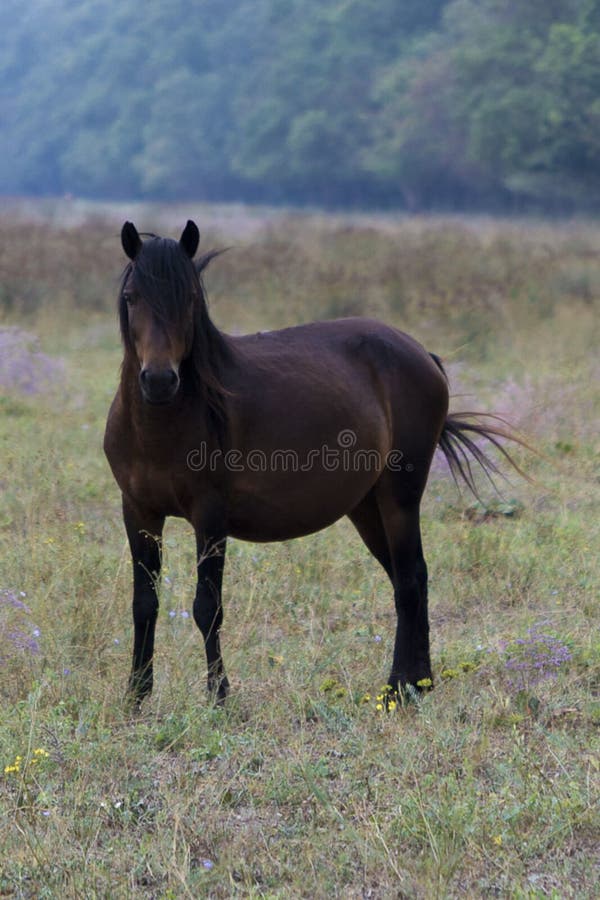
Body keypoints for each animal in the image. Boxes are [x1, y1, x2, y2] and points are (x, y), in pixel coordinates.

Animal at [104, 219, 521, 706]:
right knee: (407, 578)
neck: (163, 425)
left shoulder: (209, 516)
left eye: (188, 297)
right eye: (131, 296)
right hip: (365, 506)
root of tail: (422, 355)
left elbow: (207, 607)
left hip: (399, 496)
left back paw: (398, 689)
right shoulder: (139, 511)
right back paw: (419, 684)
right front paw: (136, 696)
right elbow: (144, 604)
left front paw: (220, 698)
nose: (158, 380)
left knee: (410, 579)